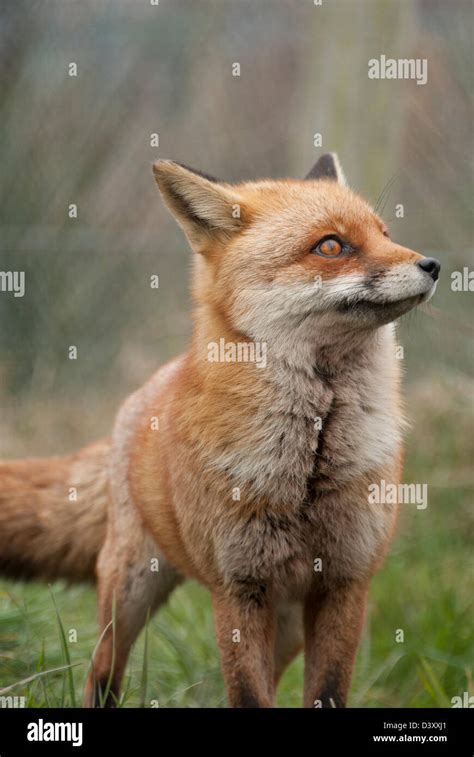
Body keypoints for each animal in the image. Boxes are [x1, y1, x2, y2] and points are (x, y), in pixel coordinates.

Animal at [0, 153, 440, 708]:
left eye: (386, 234)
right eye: (331, 246)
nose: (432, 265)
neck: (307, 467)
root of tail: (145, 393)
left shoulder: (345, 582)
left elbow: (324, 691)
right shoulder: (238, 588)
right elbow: (248, 695)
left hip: (288, 625)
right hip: (129, 592)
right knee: (101, 671)